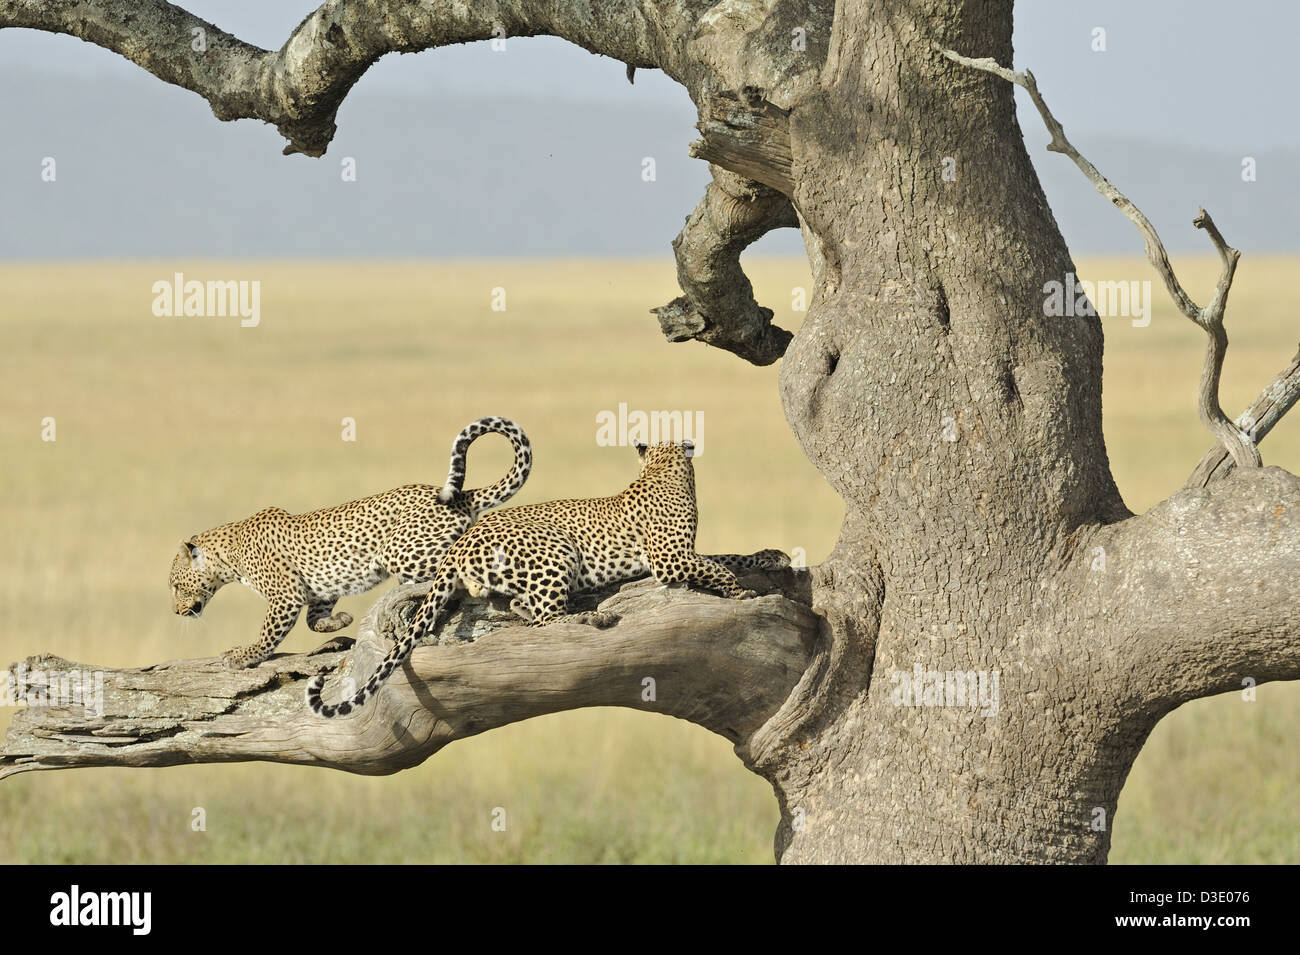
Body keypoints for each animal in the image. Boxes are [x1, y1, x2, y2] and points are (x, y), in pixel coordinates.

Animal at [170, 416, 532, 669]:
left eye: (175, 585)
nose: (175, 611)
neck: (227, 557)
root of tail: (462, 497)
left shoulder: (284, 596)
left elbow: (269, 633)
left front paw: (244, 655)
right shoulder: (318, 591)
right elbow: (314, 620)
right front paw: (339, 622)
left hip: (400, 552)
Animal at [307, 439, 790, 717]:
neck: (662, 468)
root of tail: (461, 542)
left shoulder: (681, 553)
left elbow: (727, 556)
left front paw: (770, 556)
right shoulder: (670, 559)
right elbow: (717, 566)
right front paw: (742, 592)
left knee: (526, 608)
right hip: (556, 547)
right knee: (545, 618)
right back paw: (591, 618)